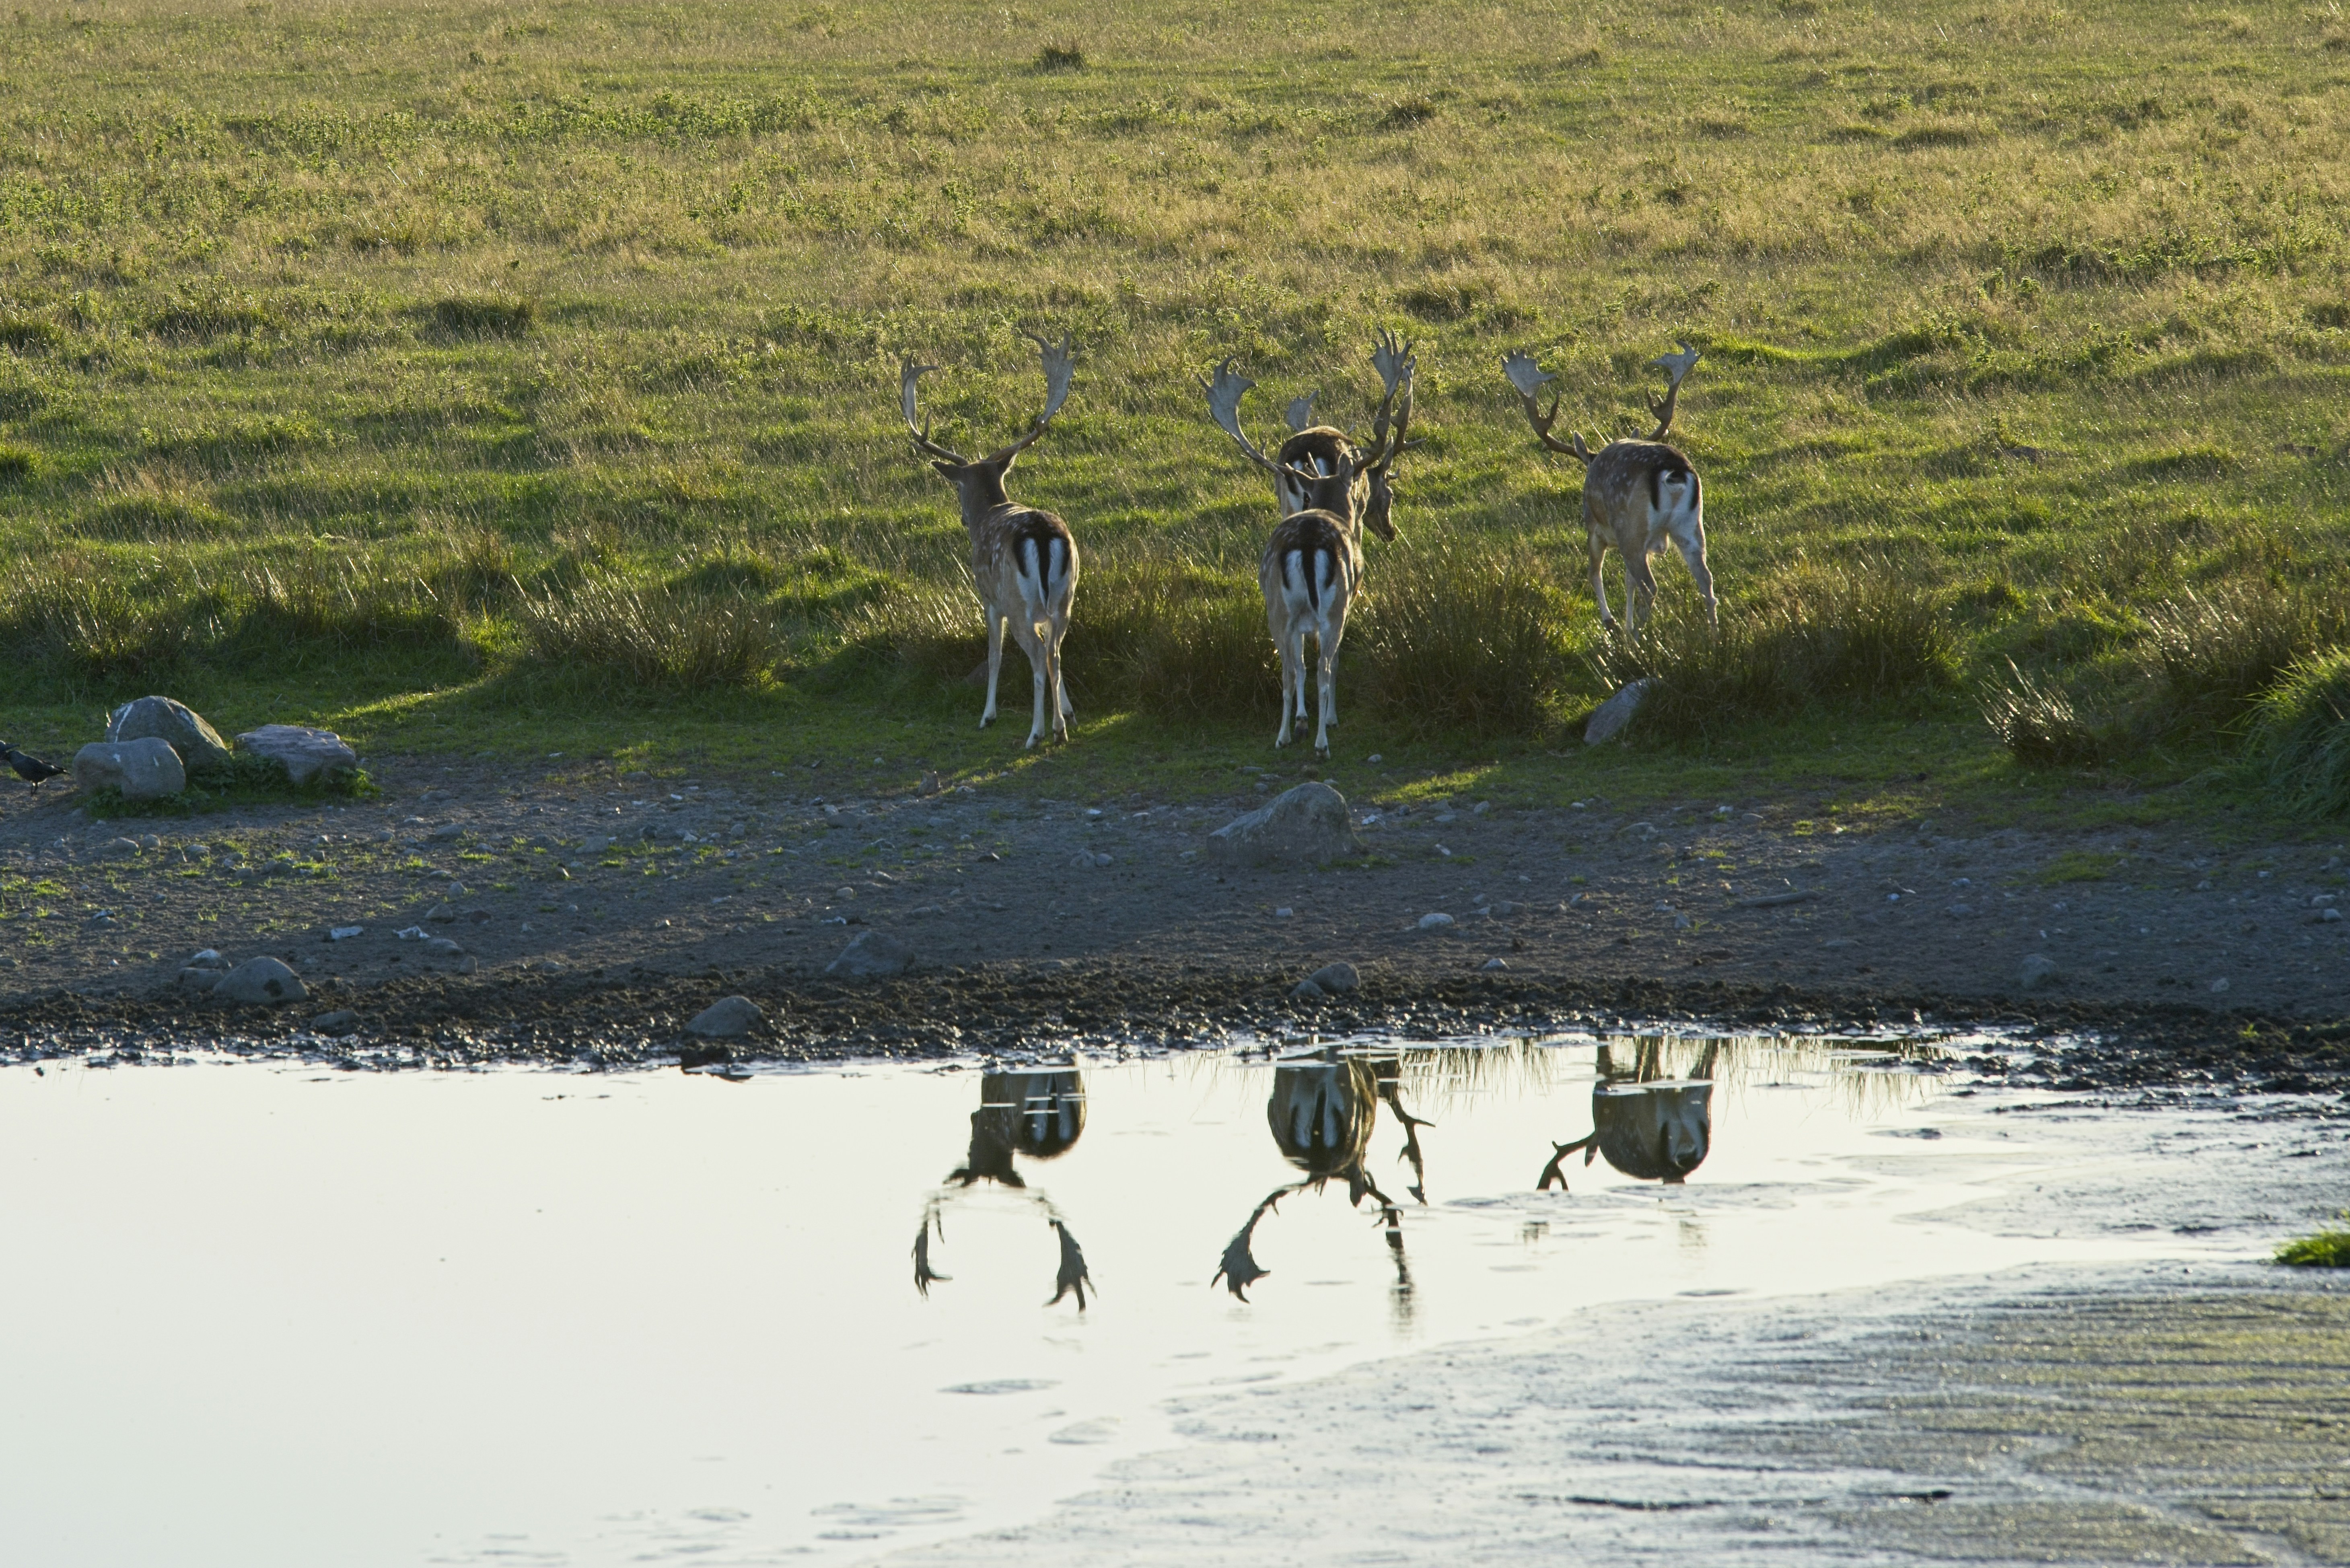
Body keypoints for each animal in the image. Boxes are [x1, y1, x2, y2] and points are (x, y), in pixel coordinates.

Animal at [900, 331, 1081, 748]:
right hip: (1066, 596)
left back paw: (1038, 733)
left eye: (958, 488)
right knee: (1056, 651)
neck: (994, 508)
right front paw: (1067, 710)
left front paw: (987, 716)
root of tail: (1042, 535)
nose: (963, 518)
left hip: (1017, 602)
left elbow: (995, 655)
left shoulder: (988, 599)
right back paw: (1059, 726)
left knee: (1037, 656)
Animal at [1203, 331, 1416, 756]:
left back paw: (1288, 732)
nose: (1391, 531)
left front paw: (1301, 721)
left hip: (1278, 609)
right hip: (1333, 608)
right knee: (1323, 667)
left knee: (1291, 668)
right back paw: (1320, 738)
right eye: (1386, 494)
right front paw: (1328, 718)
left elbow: (1298, 665)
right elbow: (1329, 664)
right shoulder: (1346, 603)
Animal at [1503, 342, 1715, 635]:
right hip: (1690, 525)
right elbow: (1627, 581)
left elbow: (1594, 572)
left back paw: (1639, 636)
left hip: (1630, 529)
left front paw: (1612, 621)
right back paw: (1714, 637)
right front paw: (1624, 623)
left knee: (1650, 586)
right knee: (1705, 579)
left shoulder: (1594, 528)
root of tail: (1673, 473)